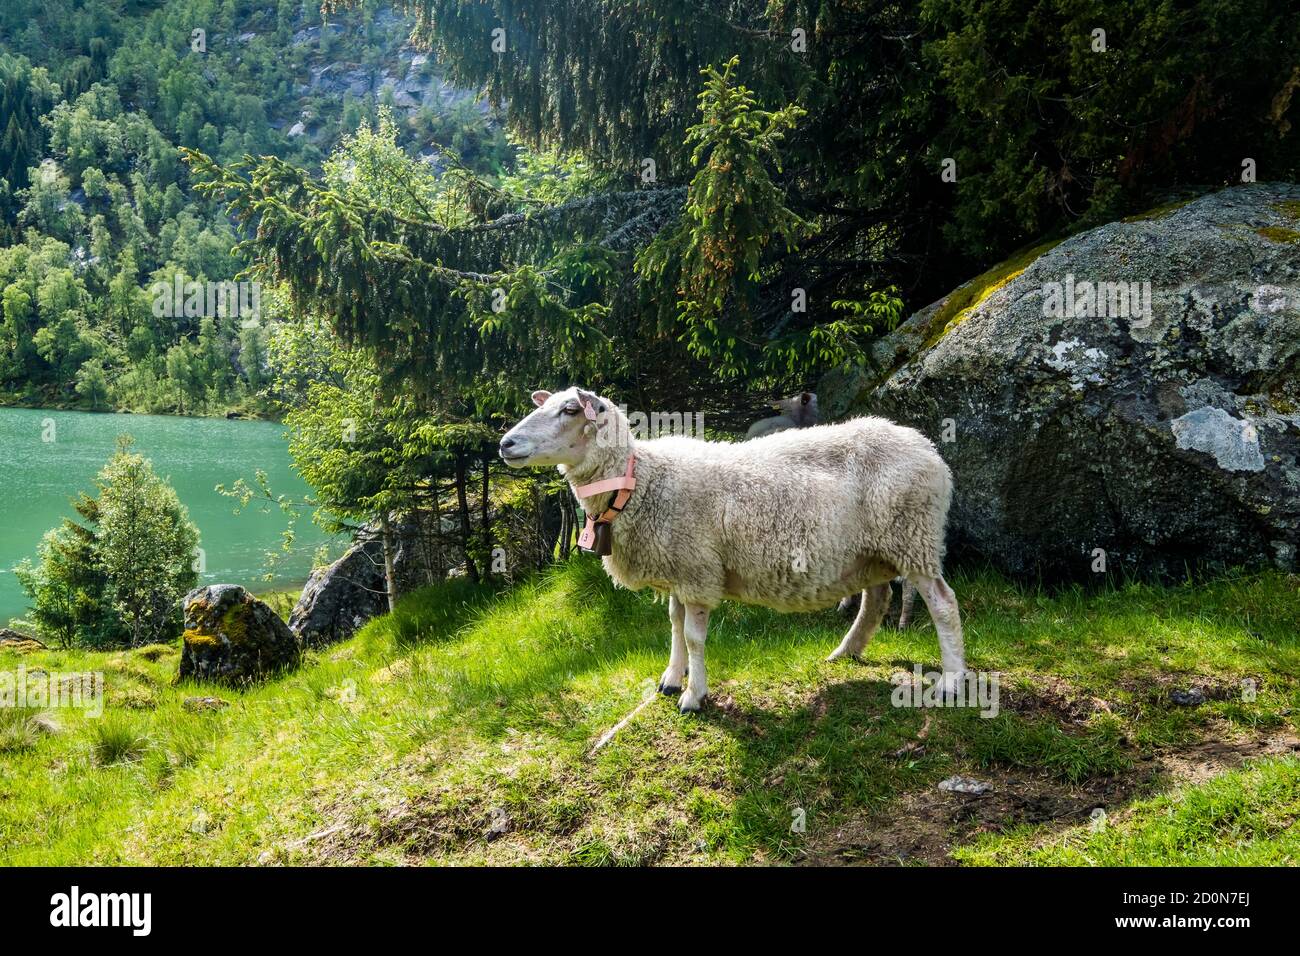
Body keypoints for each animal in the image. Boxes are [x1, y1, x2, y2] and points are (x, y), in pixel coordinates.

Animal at [499, 386, 966, 712]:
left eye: (570, 410)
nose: (505, 444)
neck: (641, 481)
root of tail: (927, 447)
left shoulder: (697, 570)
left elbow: (693, 636)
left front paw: (693, 695)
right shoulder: (680, 569)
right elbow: (674, 625)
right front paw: (671, 678)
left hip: (912, 534)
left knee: (943, 603)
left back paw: (951, 682)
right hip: (870, 550)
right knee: (877, 599)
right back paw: (845, 652)